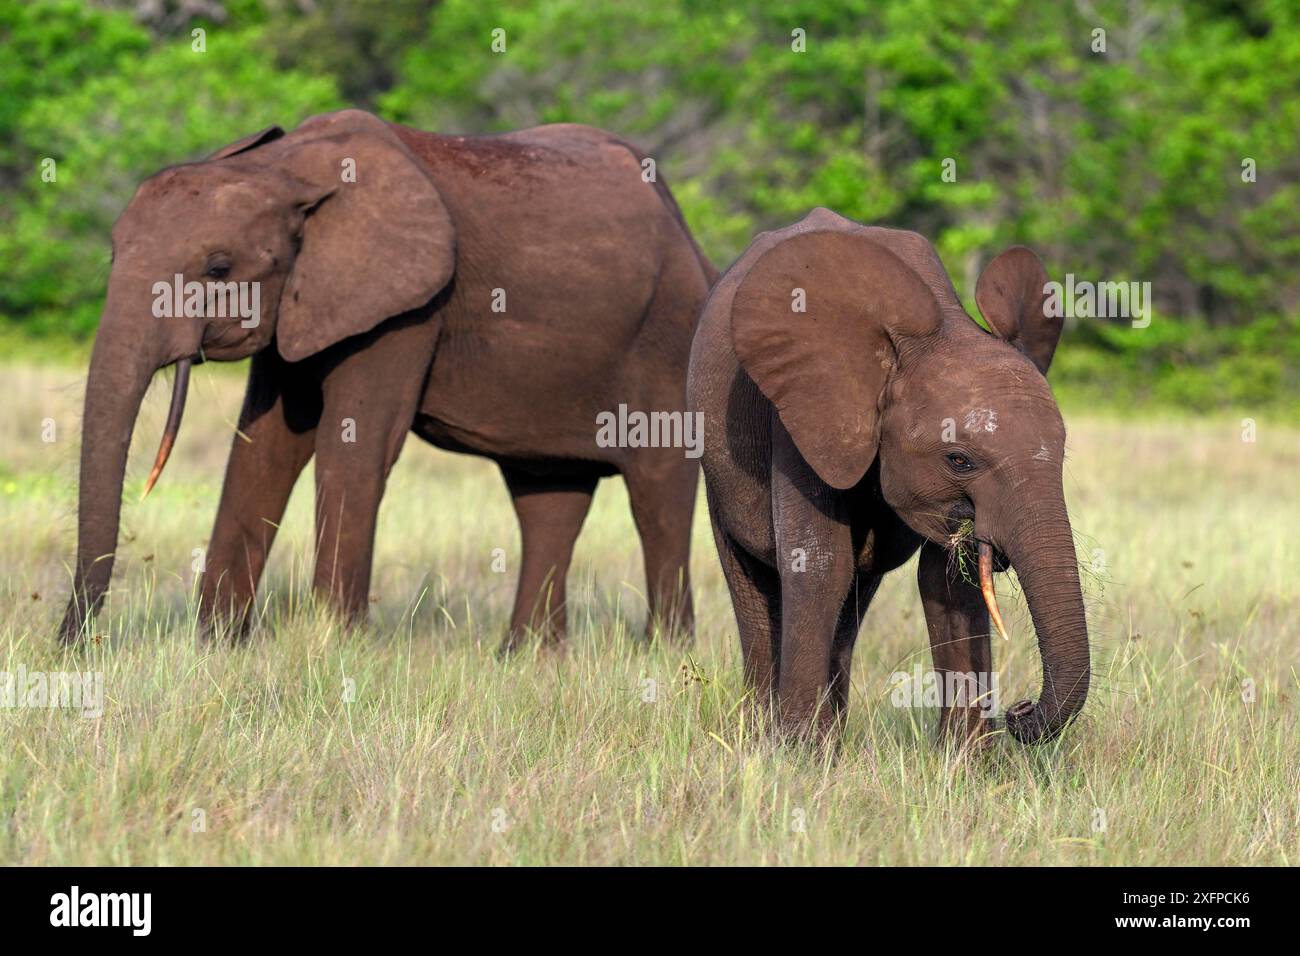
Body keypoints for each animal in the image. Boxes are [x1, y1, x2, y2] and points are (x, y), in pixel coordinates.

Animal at [59, 109, 716, 651]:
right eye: (113, 255)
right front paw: (218, 647)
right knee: (548, 498)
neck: (290, 169)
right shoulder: (302, 303)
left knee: (657, 492)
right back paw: (528, 658)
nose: (72, 642)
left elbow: (354, 446)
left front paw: (335, 647)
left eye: (218, 269)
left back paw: (665, 654)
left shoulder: (408, 307)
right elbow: (264, 449)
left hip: (669, 337)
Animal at [687, 207, 1089, 745]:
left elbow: (948, 581)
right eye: (958, 460)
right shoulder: (805, 414)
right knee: (751, 578)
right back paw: (763, 734)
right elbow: (817, 565)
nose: (1019, 711)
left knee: (855, 594)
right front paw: (796, 752)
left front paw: (965, 760)